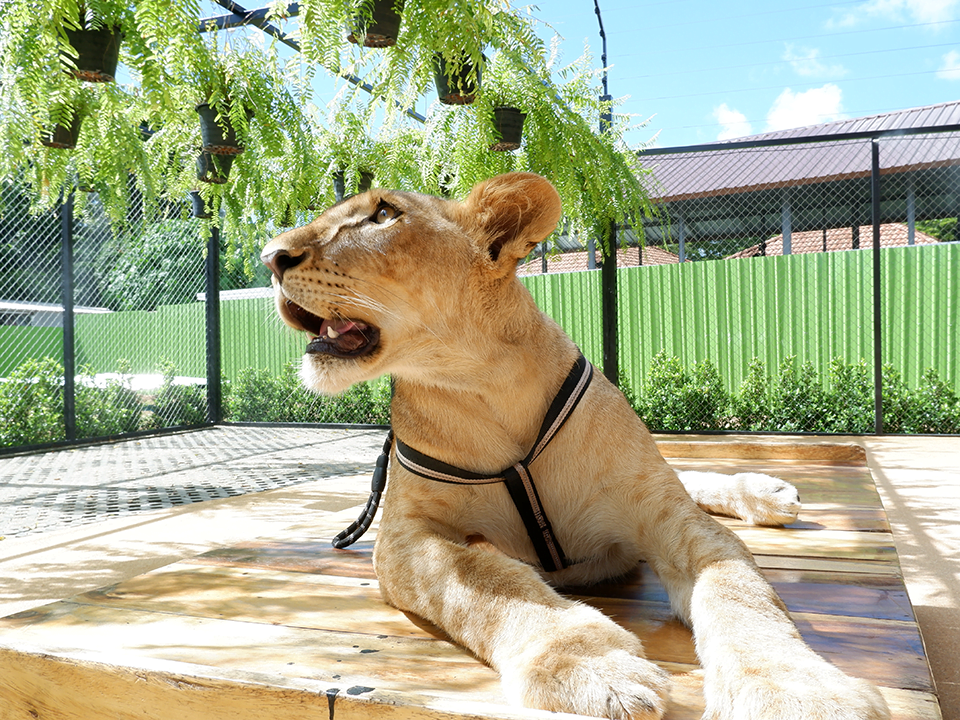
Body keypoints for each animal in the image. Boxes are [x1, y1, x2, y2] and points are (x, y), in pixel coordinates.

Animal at [261, 172, 889, 720]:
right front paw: (594, 666)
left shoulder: (663, 512)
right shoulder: (404, 538)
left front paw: (801, 694)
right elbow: (485, 583)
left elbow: (740, 593)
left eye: (384, 214)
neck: (479, 383)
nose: (270, 256)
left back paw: (765, 492)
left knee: (688, 479)